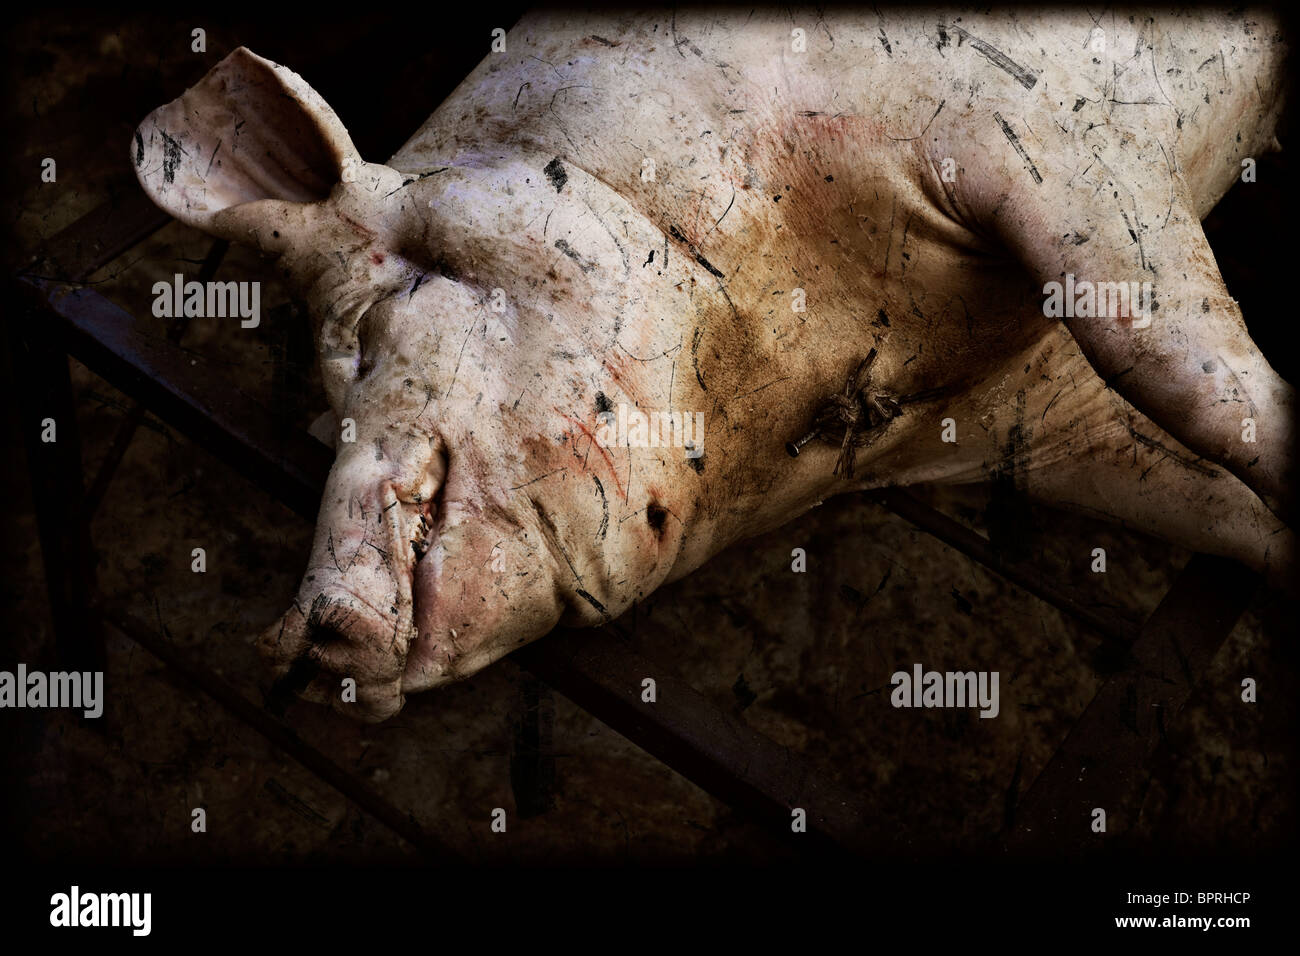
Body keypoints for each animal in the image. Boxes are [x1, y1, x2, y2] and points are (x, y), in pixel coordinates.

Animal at [132, 8, 1293, 721]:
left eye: (371, 324)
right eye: (317, 411)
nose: (292, 639)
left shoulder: (1036, 131)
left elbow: (1182, 370)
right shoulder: (1007, 414)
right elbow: (1219, 496)